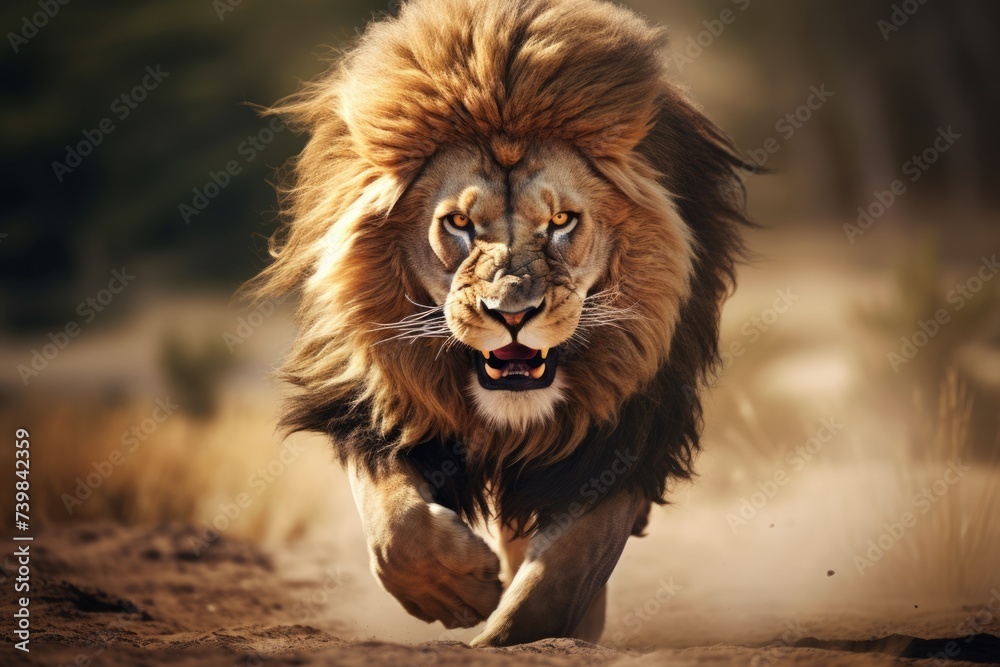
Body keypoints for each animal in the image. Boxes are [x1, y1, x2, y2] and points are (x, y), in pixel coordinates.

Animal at [251, 0, 751, 647]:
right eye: (460, 223)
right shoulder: (376, 406)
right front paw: (455, 590)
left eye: (561, 221)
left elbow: (565, 569)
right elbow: (397, 522)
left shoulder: (626, 434)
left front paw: (517, 632)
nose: (512, 314)